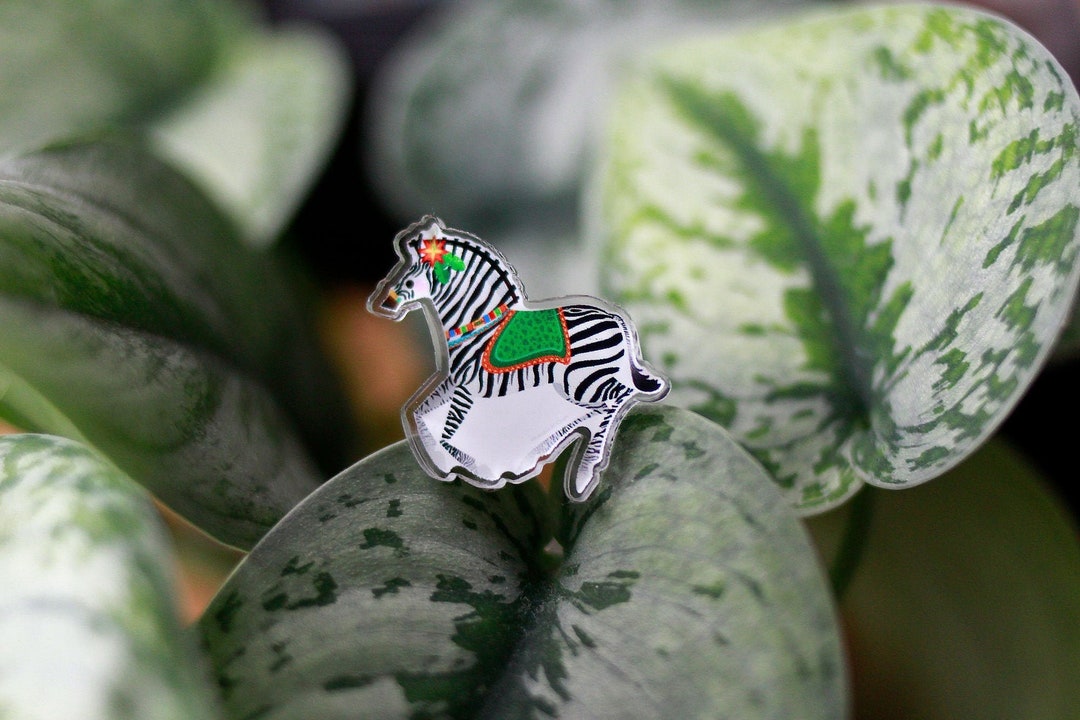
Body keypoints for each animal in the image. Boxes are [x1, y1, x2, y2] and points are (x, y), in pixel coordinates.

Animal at [367, 215, 668, 501]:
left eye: (410, 272)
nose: (386, 302)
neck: (480, 321)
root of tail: (619, 321)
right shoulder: (451, 381)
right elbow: (419, 413)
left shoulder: (466, 386)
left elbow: (447, 432)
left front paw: (470, 467)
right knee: (605, 407)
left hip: (583, 378)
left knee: (619, 399)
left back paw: (583, 470)